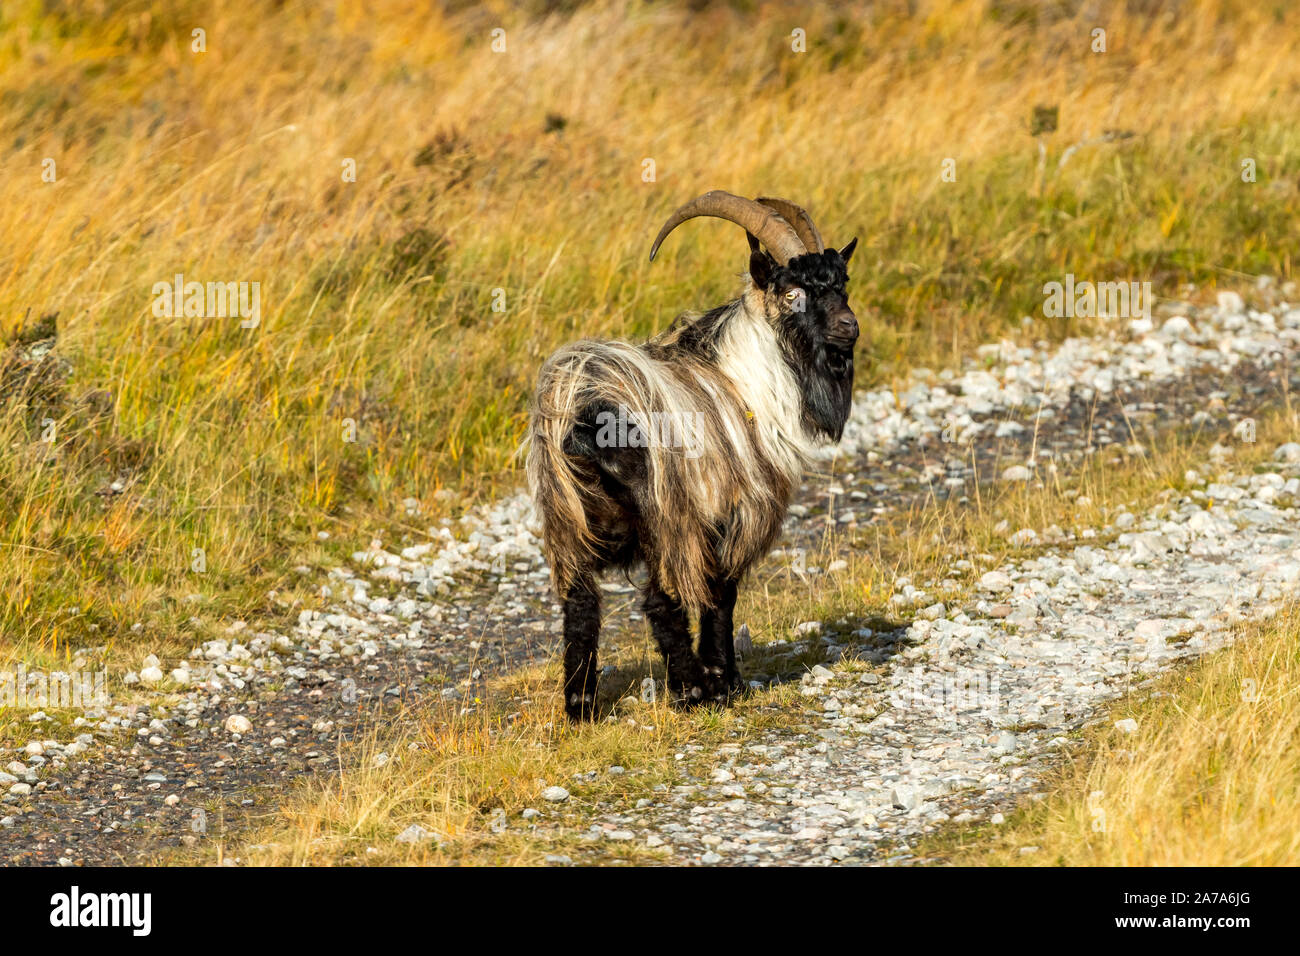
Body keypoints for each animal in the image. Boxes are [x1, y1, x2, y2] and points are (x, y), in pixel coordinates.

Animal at [527, 190, 858, 719]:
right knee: (662, 601)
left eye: (842, 283)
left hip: (567, 518)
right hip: (666, 515)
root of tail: (585, 410)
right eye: (792, 294)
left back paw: (581, 707)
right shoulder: (733, 511)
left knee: (580, 606)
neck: (742, 376)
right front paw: (726, 681)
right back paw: (692, 691)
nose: (850, 326)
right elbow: (722, 593)